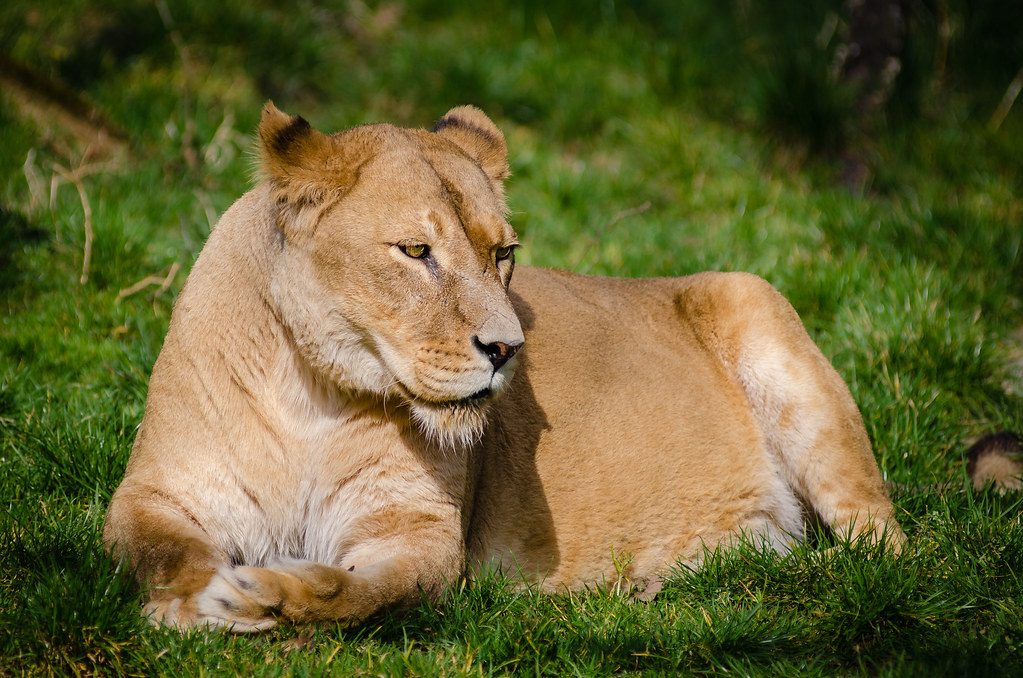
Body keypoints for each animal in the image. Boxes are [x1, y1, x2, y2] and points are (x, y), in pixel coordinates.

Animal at [103, 103, 906, 631]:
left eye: (503, 253)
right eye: (416, 252)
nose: (507, 350)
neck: (310, 394)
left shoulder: (420, 532)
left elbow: (357, 592)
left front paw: (261, 595)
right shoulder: (154, 493)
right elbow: (161, 550)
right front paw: (192, 599)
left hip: (758, 307)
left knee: (885, 551)